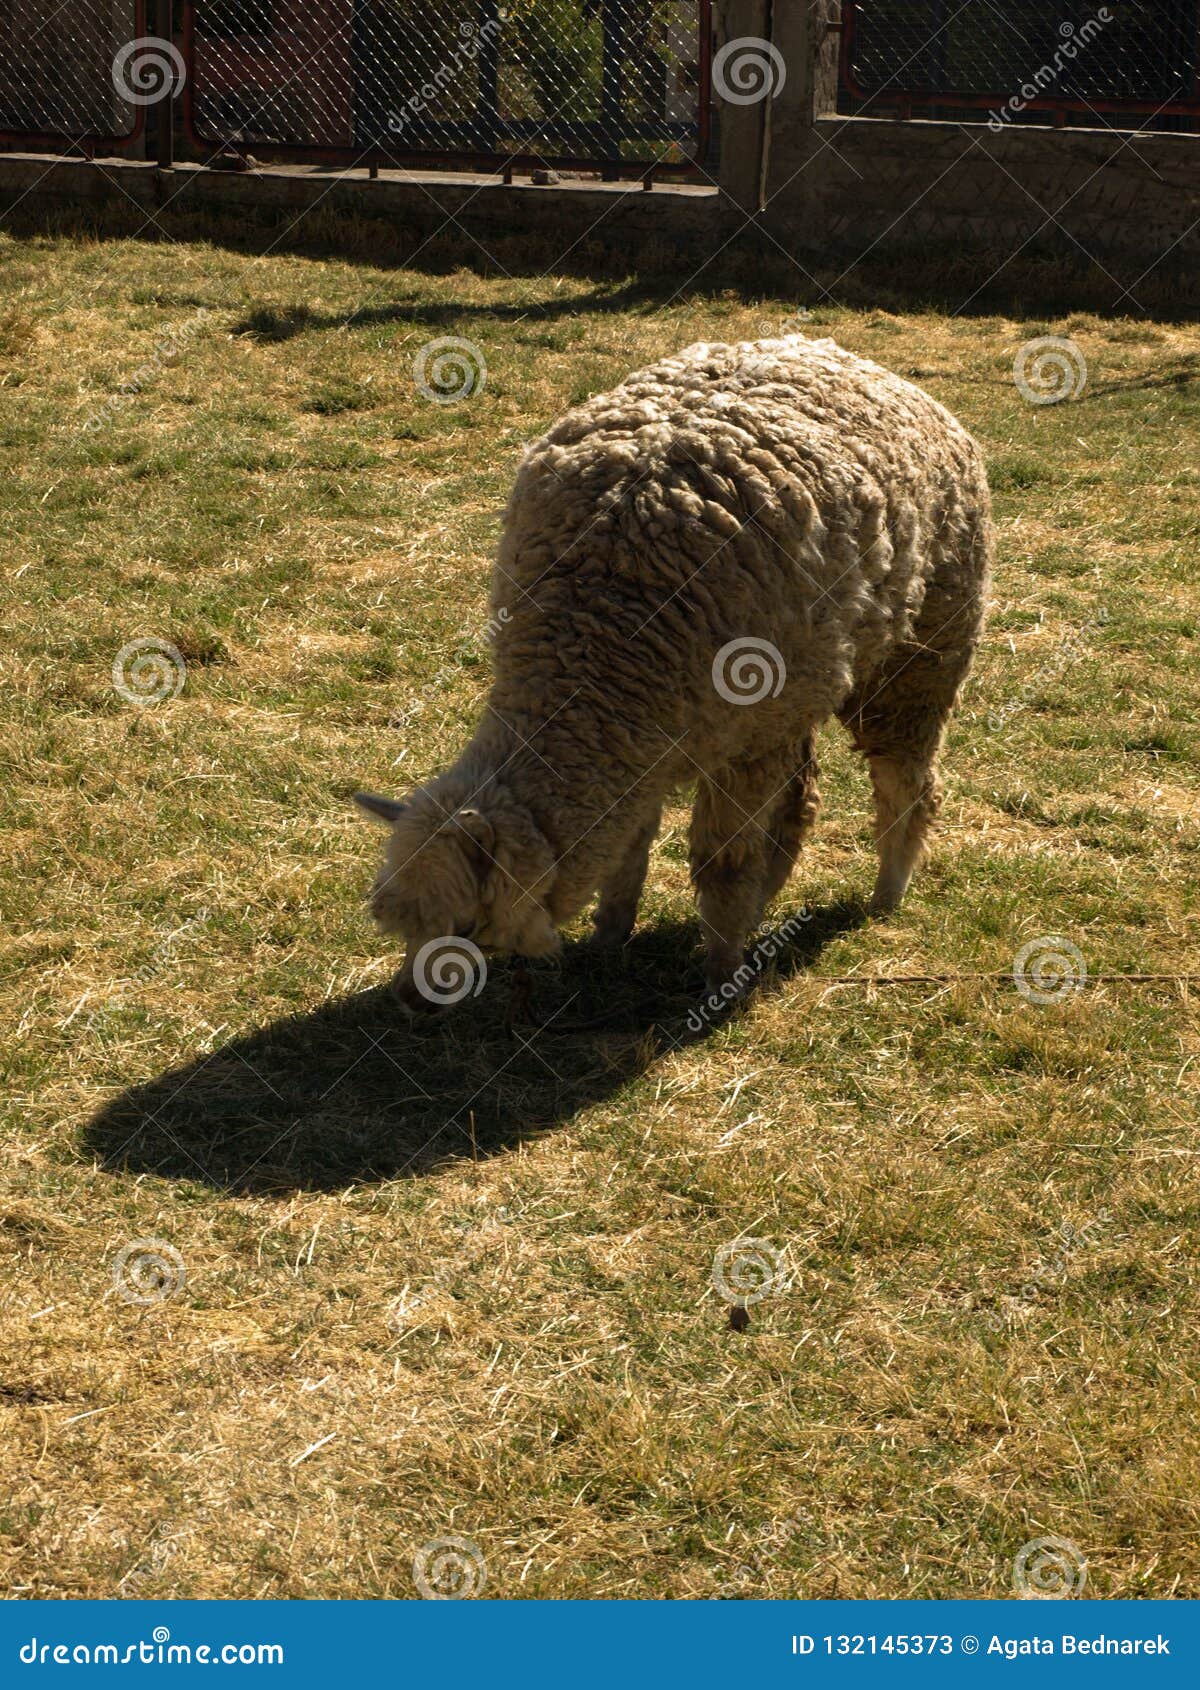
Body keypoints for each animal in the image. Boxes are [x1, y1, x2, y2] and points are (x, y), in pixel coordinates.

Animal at [357, 334, 992, 1010]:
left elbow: (722, 862)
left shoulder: (731, 742)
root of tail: (854, 358)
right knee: (800, 803)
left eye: (470, 926)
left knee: (905, 779)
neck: (599, 647)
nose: (409, 998)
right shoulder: (656, 740)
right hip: (799, 691)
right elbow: (631, 847)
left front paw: (720, 975)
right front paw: (610, 938)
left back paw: (885, 895)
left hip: (923, 648)